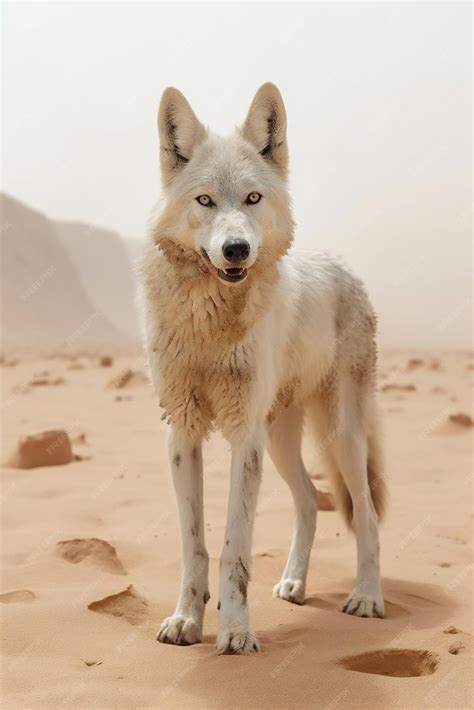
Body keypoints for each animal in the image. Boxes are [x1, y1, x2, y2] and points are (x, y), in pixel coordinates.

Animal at [140, 83, 386, 654]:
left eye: (253, 199)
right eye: (205, 200)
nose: (236, 250)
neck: (212, 324)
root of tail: (345, 267)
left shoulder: (241, 433)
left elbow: (235, 545)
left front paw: (235, 631)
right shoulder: (182, 431)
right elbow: (194, 545)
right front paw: (185, 621)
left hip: (338, 435)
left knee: (364, 513)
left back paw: (366, 598)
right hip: (278, 440)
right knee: (310, 502)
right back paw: (294, 584)